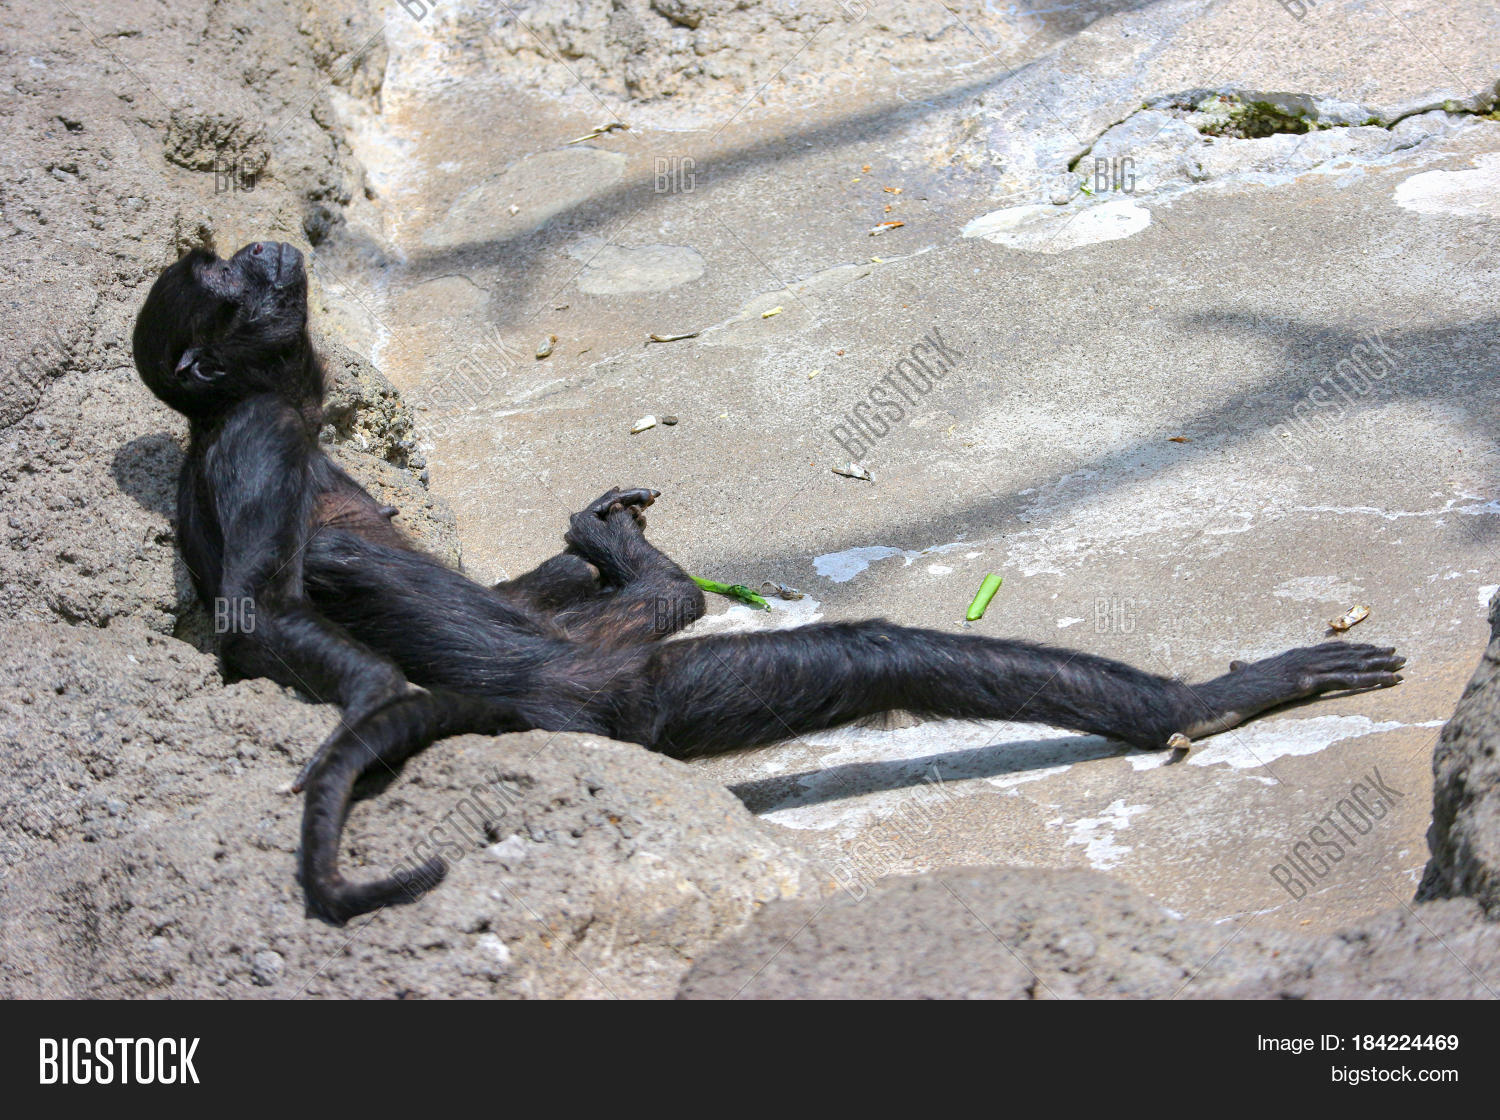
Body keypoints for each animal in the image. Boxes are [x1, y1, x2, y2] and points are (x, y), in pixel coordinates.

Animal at [131, 241, 1407, 925]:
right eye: (235, 281)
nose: (267, 254)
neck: (276, 399)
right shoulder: (264, 441)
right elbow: (265, 602)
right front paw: (364, 705)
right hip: (628, 700)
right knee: (860, 651)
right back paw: (1203, 702)